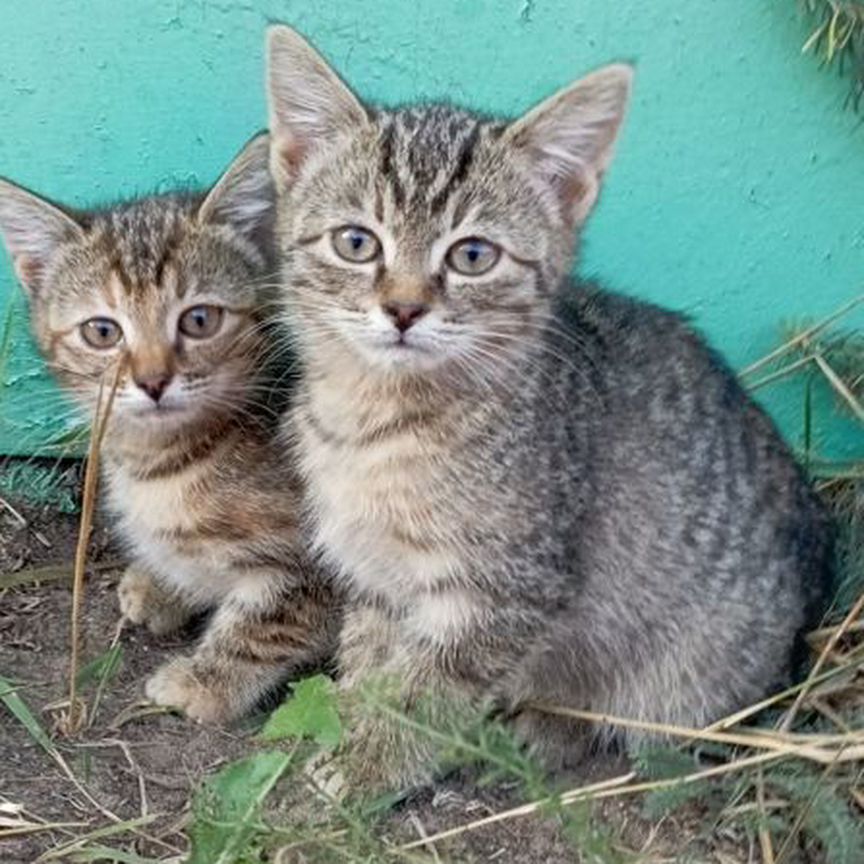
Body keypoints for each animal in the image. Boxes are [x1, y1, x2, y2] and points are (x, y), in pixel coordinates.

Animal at [0, 135, 340, 724]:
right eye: (102, 332)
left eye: (199, 320)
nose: (153, 381)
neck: (164, 461)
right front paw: (162, 584)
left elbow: (270, 616)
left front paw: (207, 678)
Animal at [266, 28, 832, 796]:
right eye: (356, 242)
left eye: (473, 255)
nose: (404, 309)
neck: (372, 419)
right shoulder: (376, 573)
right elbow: (372, 659)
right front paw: (349, 716)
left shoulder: (506, 590)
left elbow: (427, 694)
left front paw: (367, 764)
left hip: (687, 669)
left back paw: (540, 730)